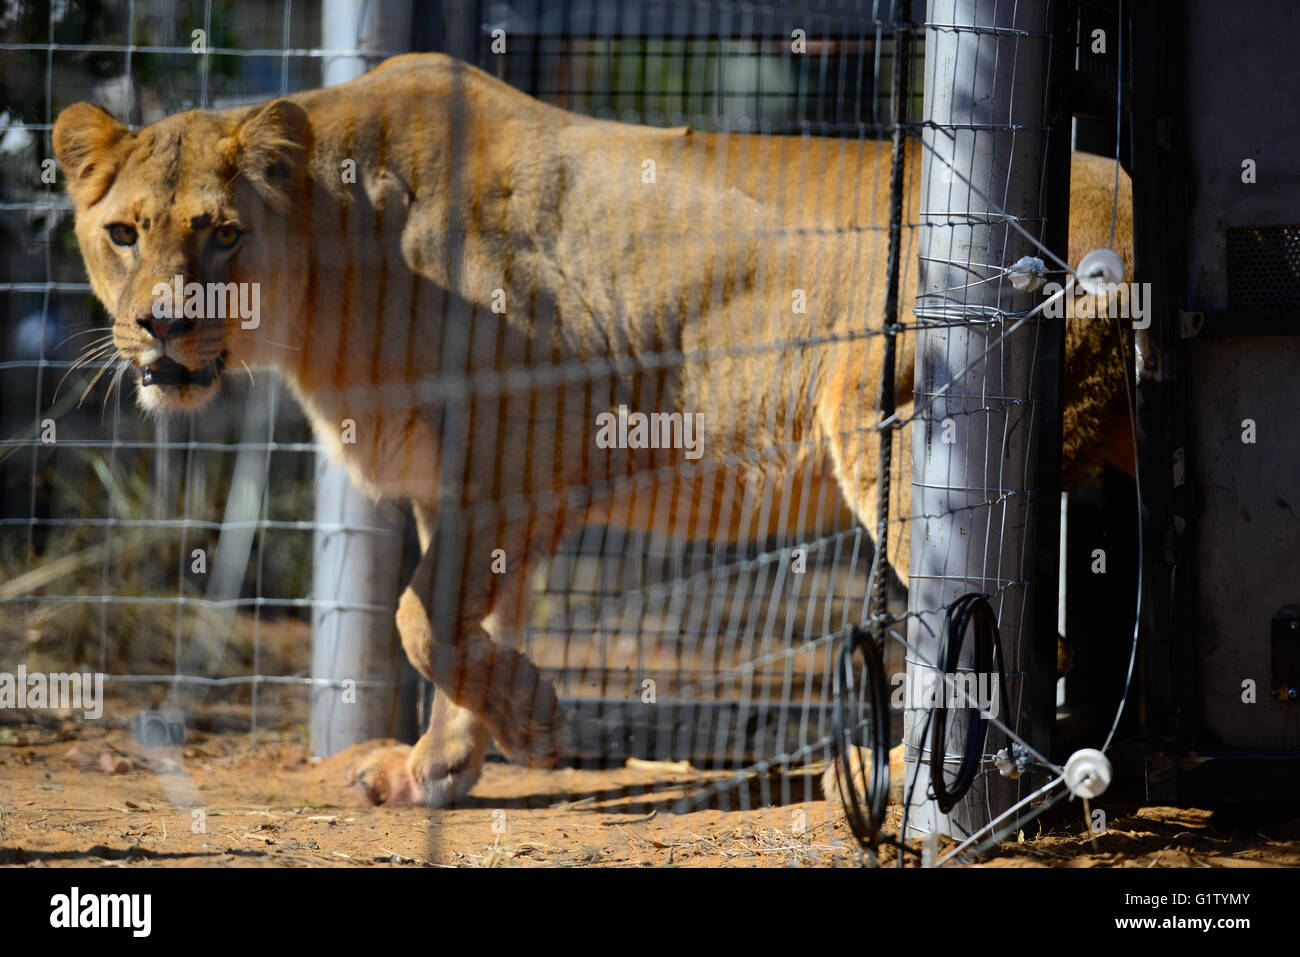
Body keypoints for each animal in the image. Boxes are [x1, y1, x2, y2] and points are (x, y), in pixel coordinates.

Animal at [53, 53, 1132, 807]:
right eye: (123, 234)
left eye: (224, 233)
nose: (162, 324)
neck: (329, 264)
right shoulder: (470, 483)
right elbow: (458, 627)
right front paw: (436, 768)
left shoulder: (524, 450)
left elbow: (419, 620)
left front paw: (532, 721)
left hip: (888, 415)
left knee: (993, 636)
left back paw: (895, 779)